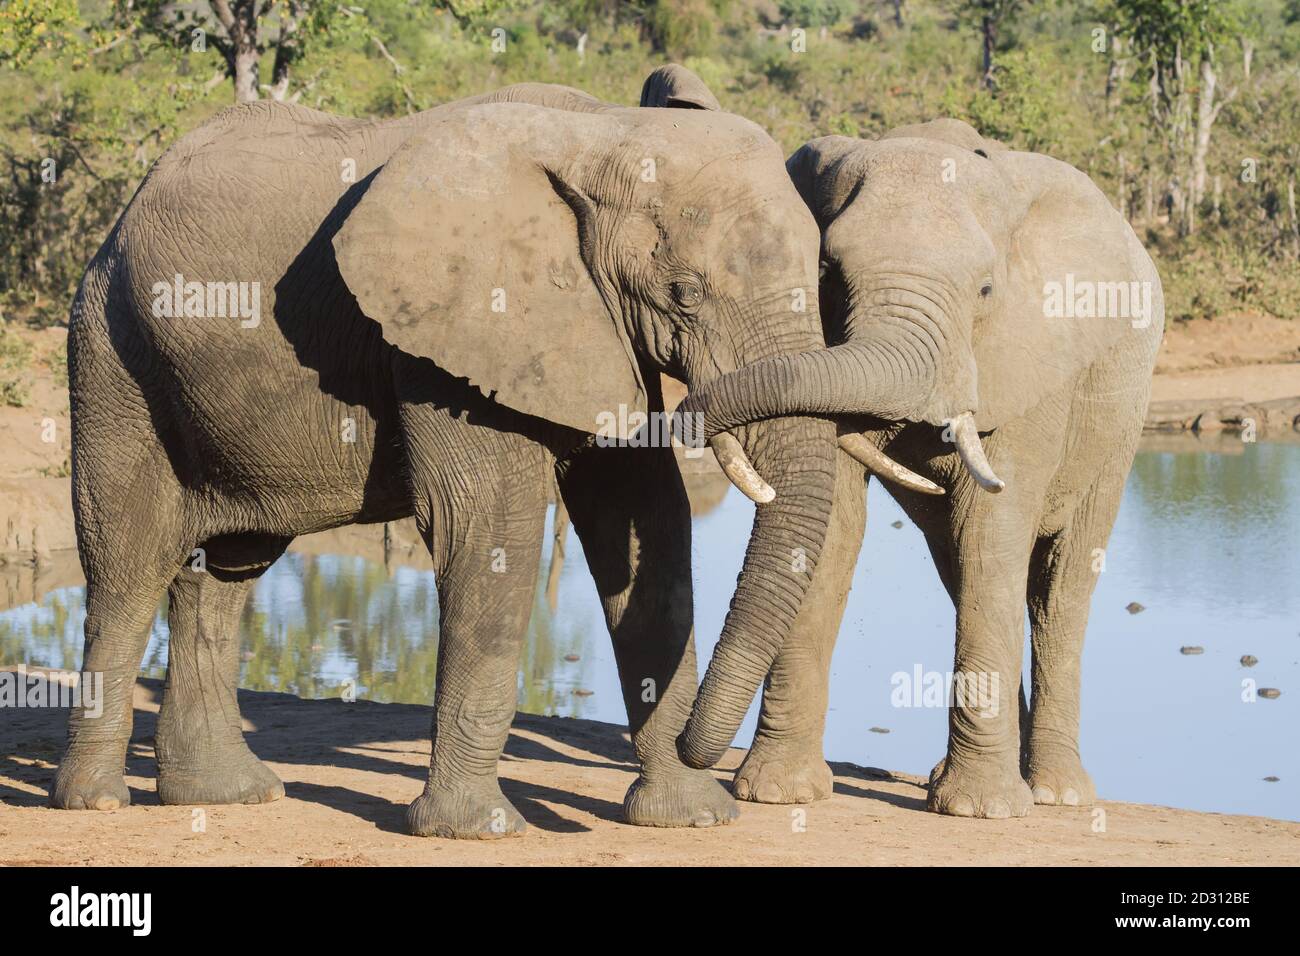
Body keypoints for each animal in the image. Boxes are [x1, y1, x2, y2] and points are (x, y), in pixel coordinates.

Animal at [52, 67, 841, 839]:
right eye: (684, 292)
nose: (700, 749)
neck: (601, 133)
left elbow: (646, 518)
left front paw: (692, 816)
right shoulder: (451, 333)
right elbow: (491, 526)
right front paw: (477, 829)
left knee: (222, 572)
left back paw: (225, 795)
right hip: (112, 352)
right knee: (128, 567)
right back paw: (97, 801)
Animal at [675, 118, 1164, 818]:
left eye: (986, 290)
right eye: (827, 271)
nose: (686, 746)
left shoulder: (1034, 364)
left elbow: (994, 530)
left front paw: (982, 812)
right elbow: (837, 527)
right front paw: (777, 793)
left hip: (1121, 415)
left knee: (1059, 584)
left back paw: (1054, 793)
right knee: (960, 568)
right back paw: (966, 779)